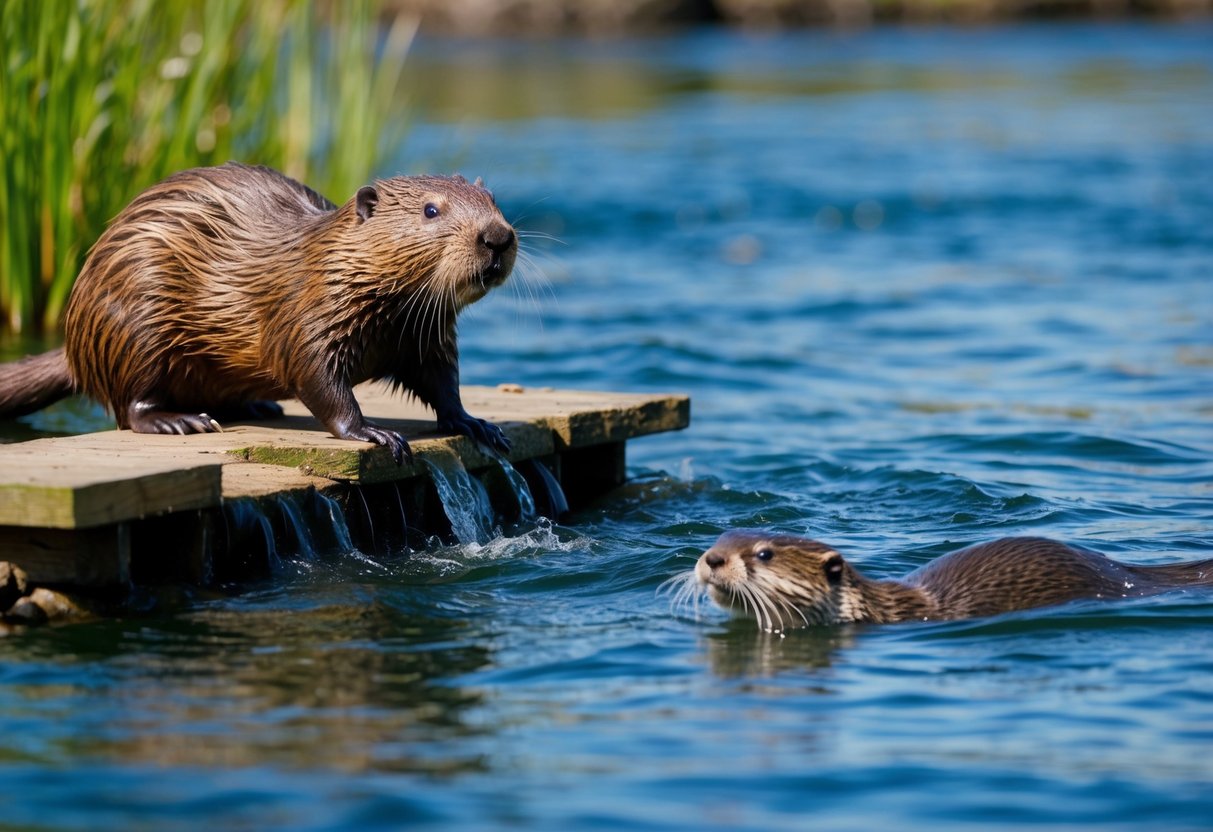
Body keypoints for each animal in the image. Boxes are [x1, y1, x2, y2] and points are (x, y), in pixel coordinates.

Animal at [0, 162, 518, 463]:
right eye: (431, 210)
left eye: (493, 202)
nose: (496, 237)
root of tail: (72, 344)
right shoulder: (307, 313)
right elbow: (318, 379)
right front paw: (374, 432)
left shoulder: (427, 334)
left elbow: (442, 381)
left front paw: (477, 424)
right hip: (136, 324)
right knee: (132, 403)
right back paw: (180, 421)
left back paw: (256, 404)